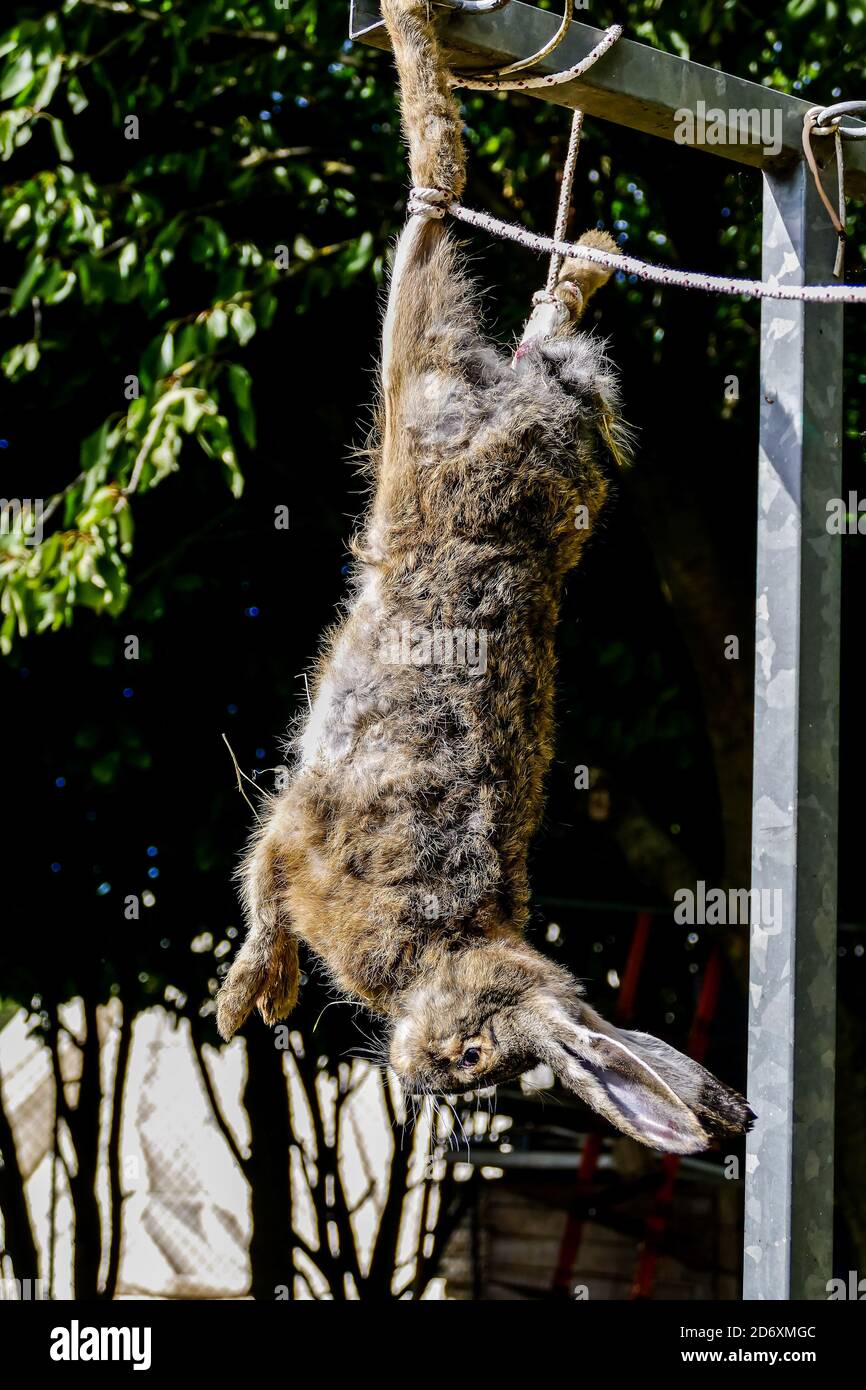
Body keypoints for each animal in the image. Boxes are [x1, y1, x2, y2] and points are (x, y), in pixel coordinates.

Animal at [216, 0, 753, 1155]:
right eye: (475, 1058)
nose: (423, 1079)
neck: (444, 948)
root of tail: (551, 412)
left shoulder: (295, 838)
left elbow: (257, 885)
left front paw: (254, 994)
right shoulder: (294, 844)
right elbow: (259, 893)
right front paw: (250, 998)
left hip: (424, 398)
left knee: (476, 247)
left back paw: (583, 252)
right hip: (424, 388)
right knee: (446, 187)